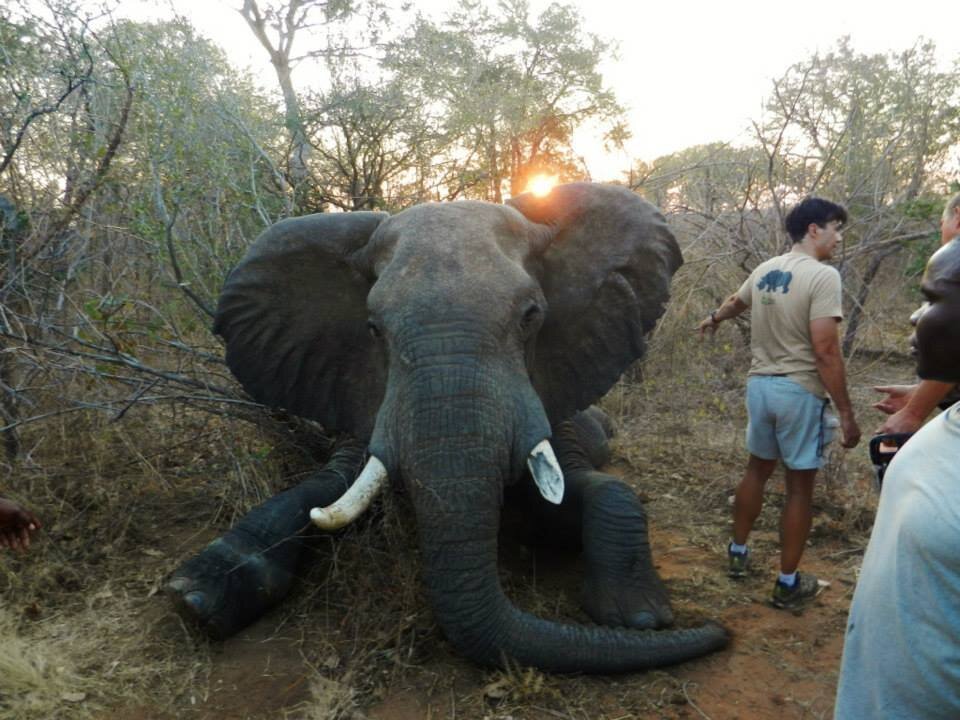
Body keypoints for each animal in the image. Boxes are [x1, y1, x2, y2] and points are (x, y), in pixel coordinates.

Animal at [166, 182, 729, 674]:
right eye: (373, 329)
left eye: (531, 316)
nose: (722, 634)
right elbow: (318, 491)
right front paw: (195, 597)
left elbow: (592, 496)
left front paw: (640, 616)